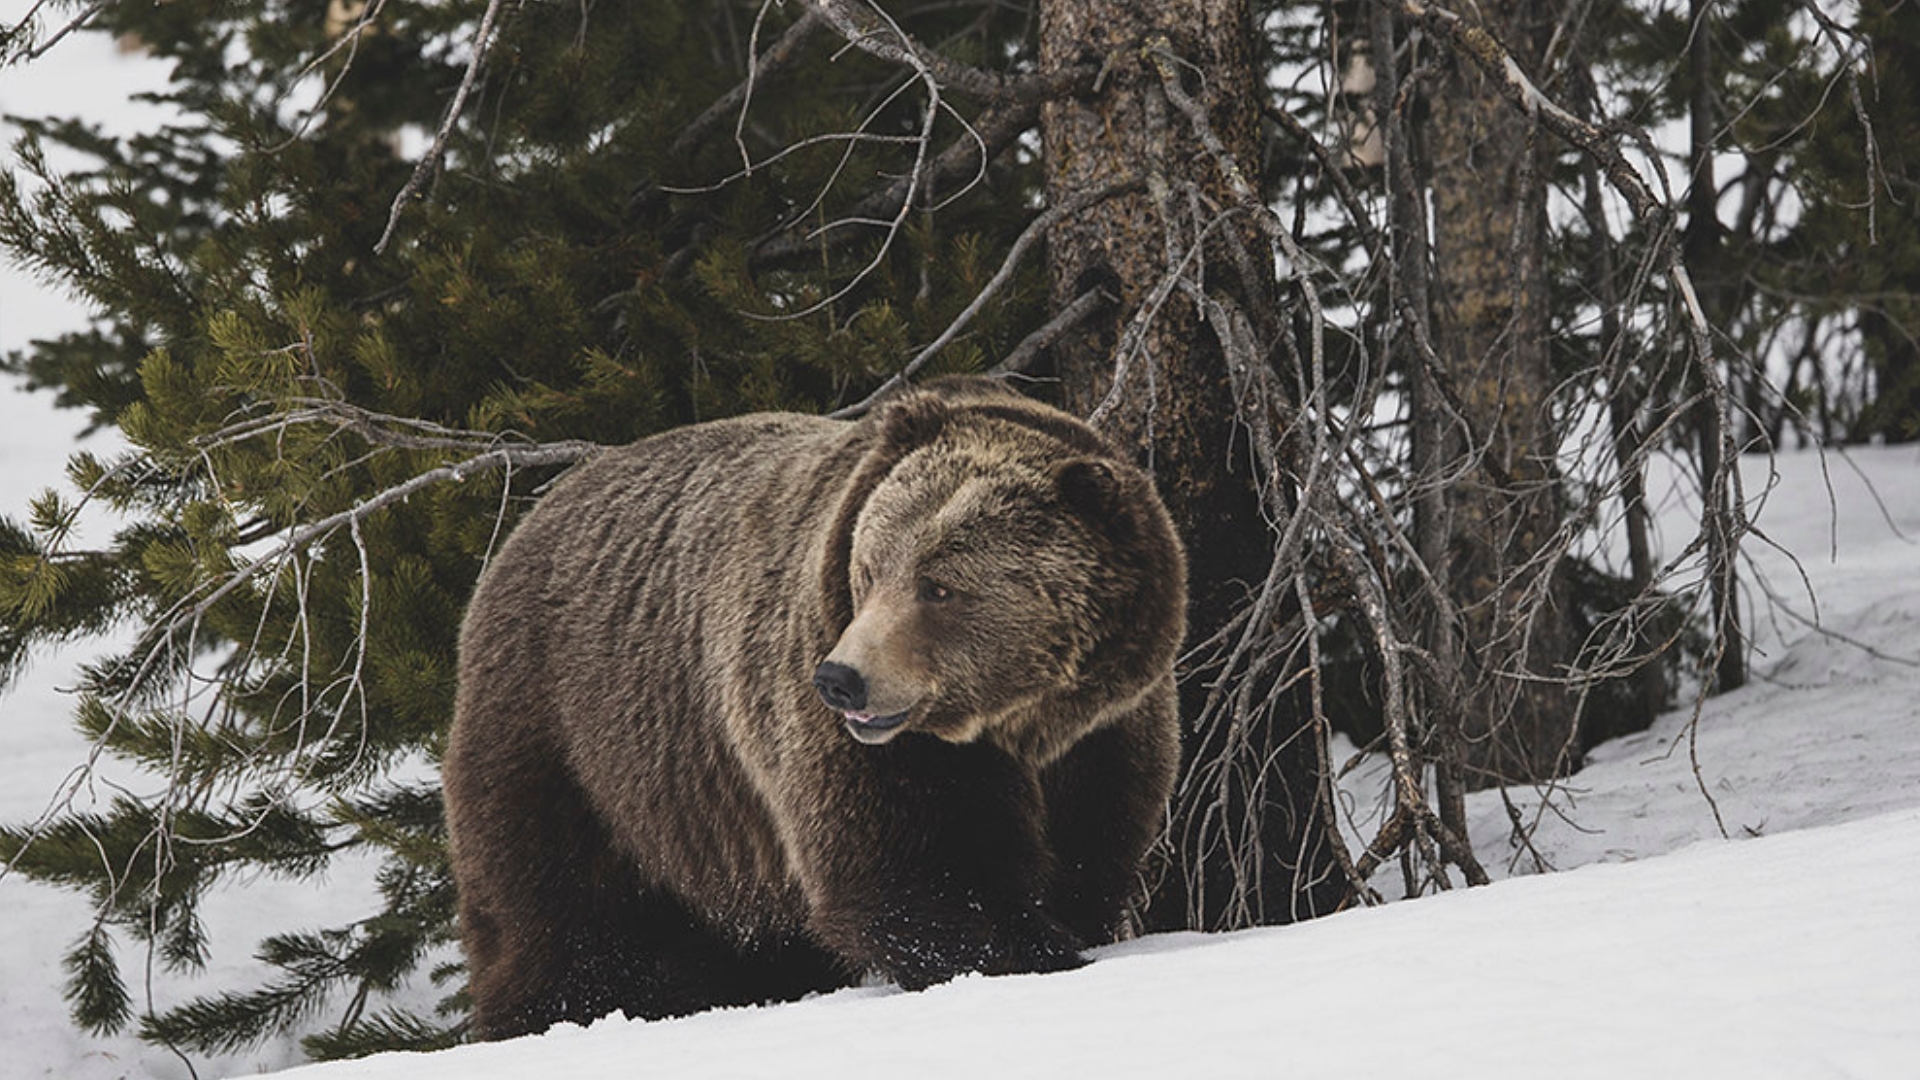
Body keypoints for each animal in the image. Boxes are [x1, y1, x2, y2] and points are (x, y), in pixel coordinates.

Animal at [442, 376, 1186, 1040]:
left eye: (939, 586)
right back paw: (553, 1013)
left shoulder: (1106, 733)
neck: (1016, 723)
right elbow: (915, 868)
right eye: (870, 569)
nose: (842, 680)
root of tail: (520, 531)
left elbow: (1090, 856)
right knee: (560, 911)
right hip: (576, 743)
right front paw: (1029, 952)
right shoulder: (853, 730)